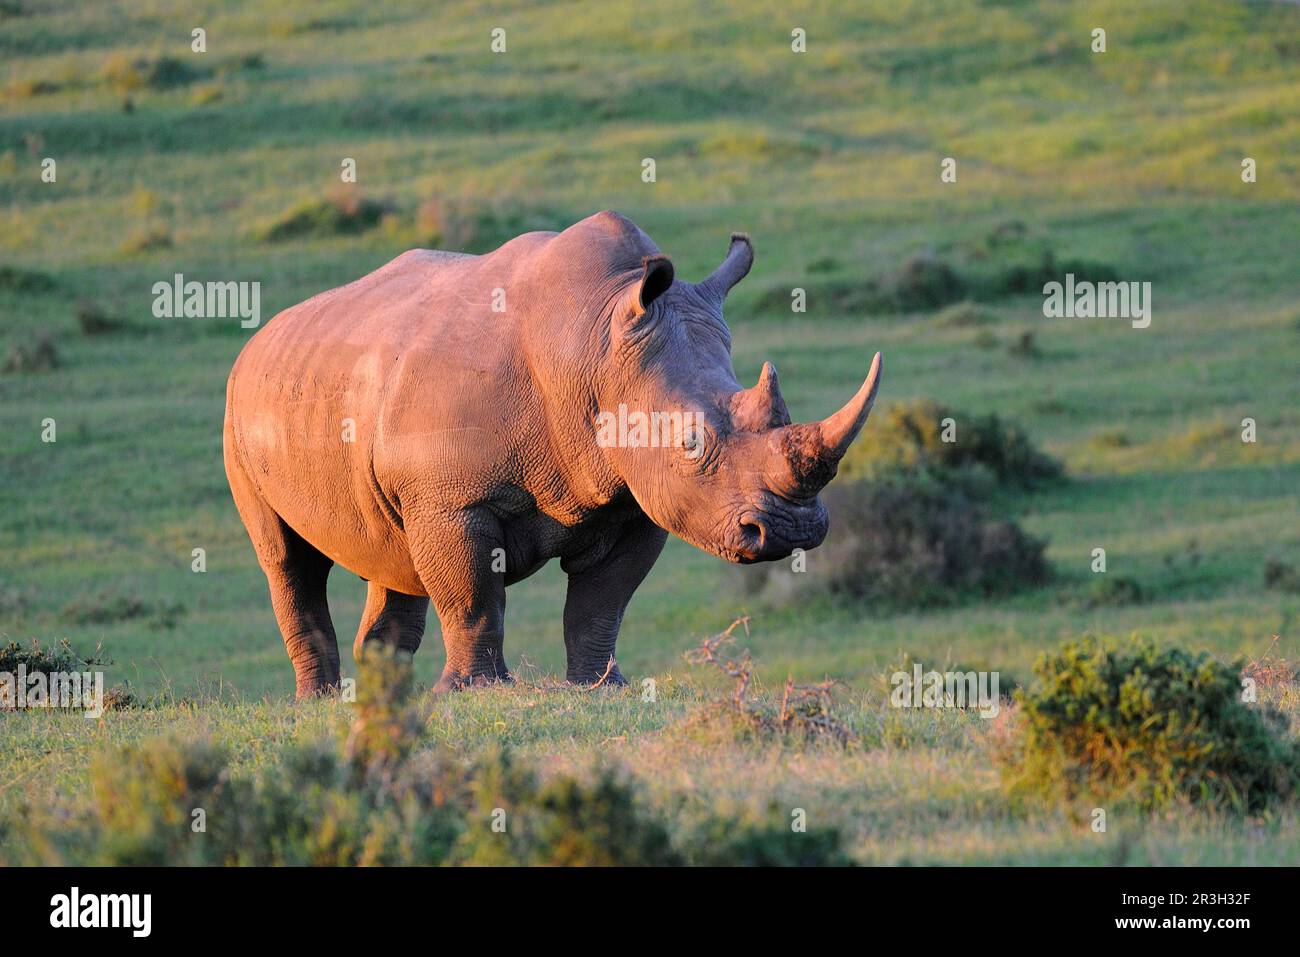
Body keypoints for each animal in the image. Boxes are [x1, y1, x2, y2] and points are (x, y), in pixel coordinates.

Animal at [223, 211, 882, 697]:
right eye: (691, 442)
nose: (792, 531)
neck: (594, 342)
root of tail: (261, 337)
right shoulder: (451, 498)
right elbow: (472, 597)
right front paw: (476, 692)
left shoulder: (636, 499)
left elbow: (601, 602)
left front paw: (599, 687)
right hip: (241, 410)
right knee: (287, 559)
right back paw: (319, 703)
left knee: (391, 558)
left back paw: (382, 700)